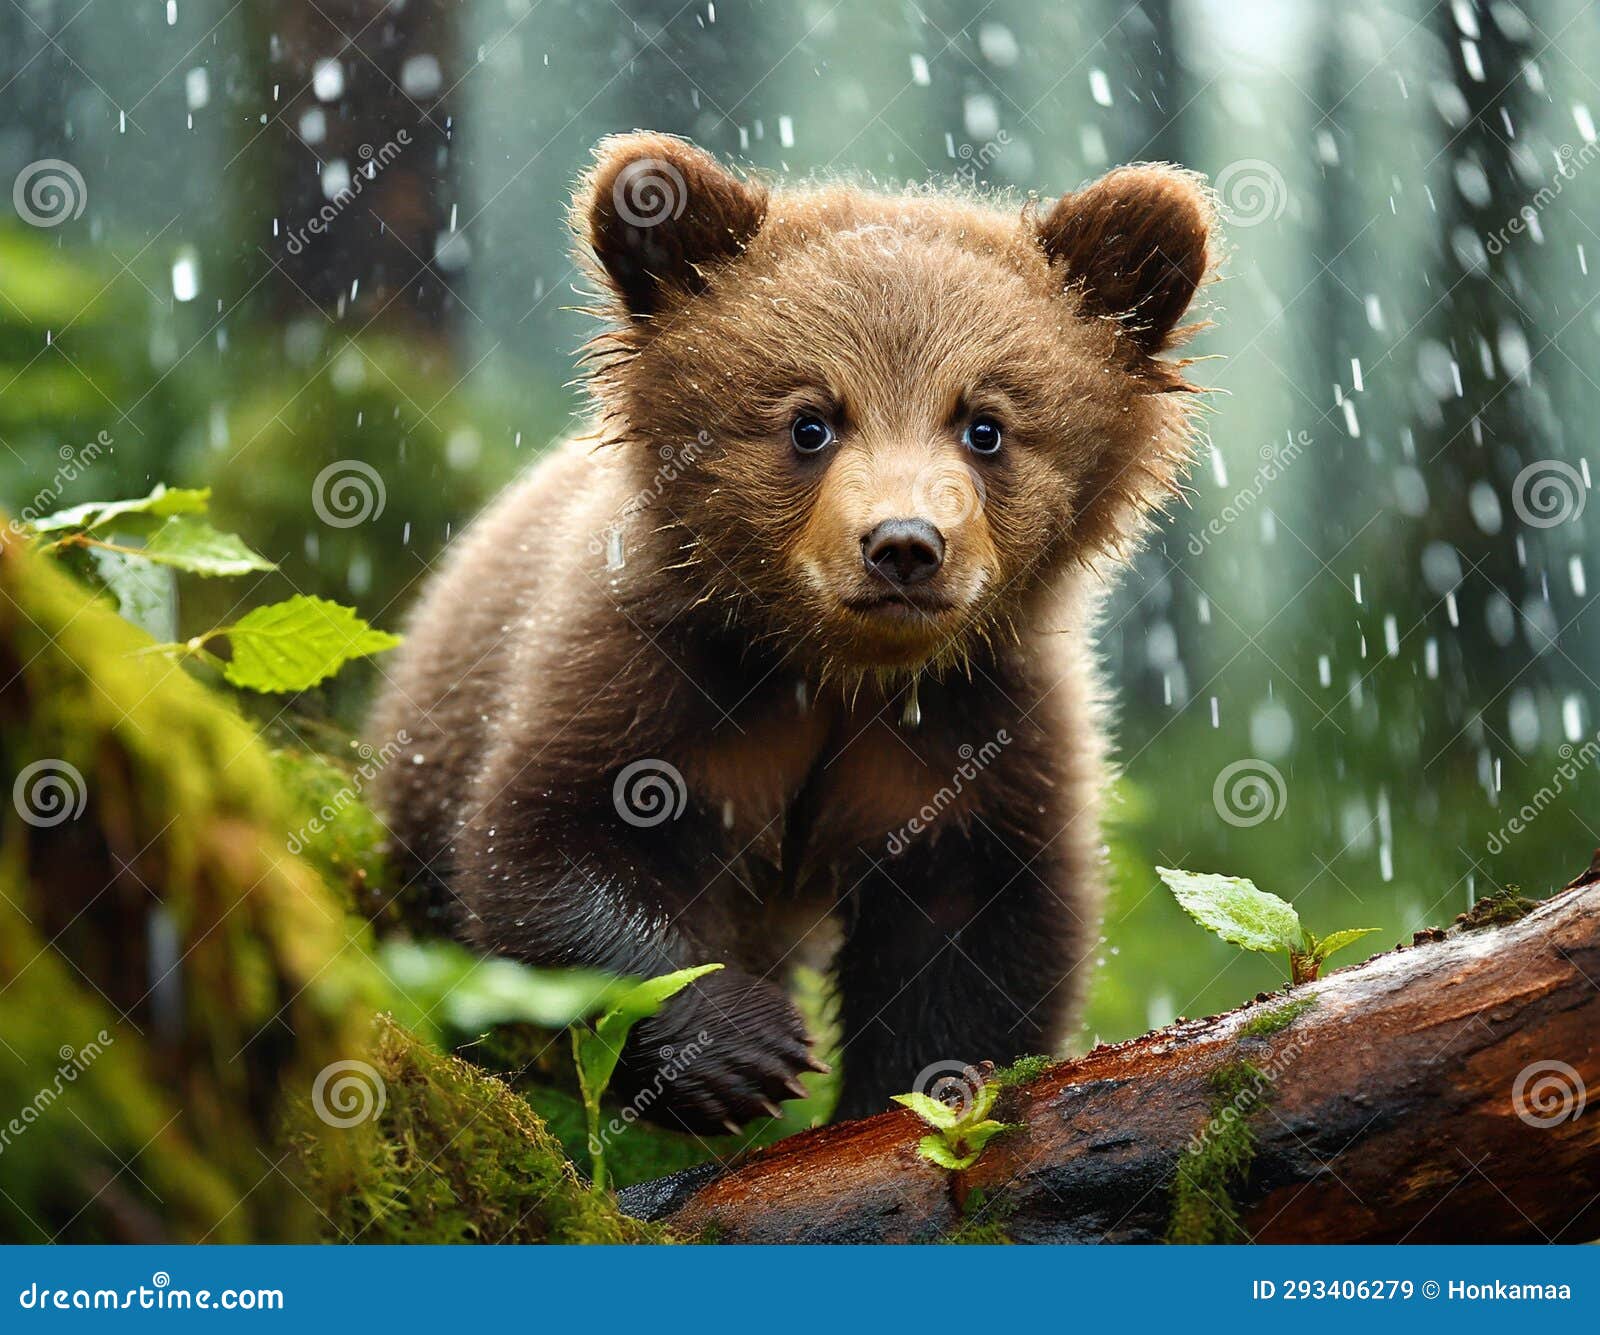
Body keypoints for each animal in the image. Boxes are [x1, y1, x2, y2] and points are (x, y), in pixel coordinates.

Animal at [368, 131, 1216, 1131]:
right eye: (810, 421)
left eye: (986, 425)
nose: (903, 545)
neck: (837, 670)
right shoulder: (657, 671)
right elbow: (549, 848)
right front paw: (743, 1048)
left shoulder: (973, 721)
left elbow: (979, 928)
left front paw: (916, 1091)